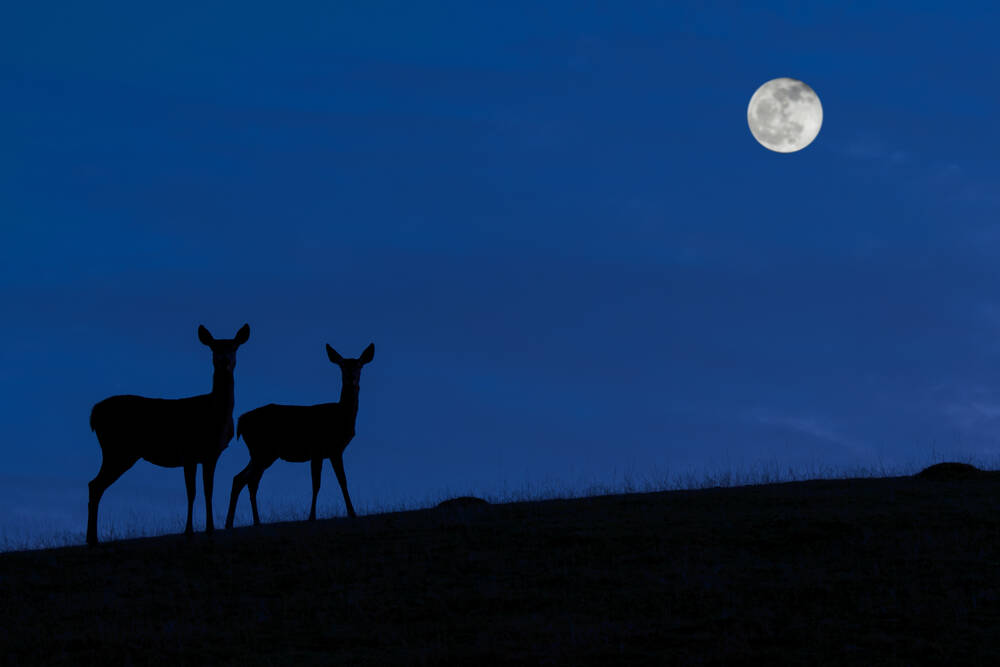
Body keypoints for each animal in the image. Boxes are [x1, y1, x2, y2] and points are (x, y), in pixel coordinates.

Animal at [87, 324, 250, 546]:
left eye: (234, 346)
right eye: (213, 348)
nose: (223, 360)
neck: (216, 416)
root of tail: (94, 413)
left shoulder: (211, 455)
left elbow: (208, 490)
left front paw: (209, 529)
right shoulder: (189, 452)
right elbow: (192, 491)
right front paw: (189, 531)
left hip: (119, 452)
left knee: (94, 485)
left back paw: (92, 538)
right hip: (118, 450)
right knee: (95, 485)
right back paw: (92, 539)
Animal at [225, 342, 374, 528]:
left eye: (359, 365)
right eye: (342, 365)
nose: (352, 378)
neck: (341, 417)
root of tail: (241, 420)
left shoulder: (334, 451)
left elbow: (342, 480)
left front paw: (352, 513)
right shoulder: (320, 450)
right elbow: (317, 483)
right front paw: (312, 516)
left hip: (260, 453)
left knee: (240, 479)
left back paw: (239, 522)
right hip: (262, 451)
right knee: (249, 480)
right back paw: (247, 521)